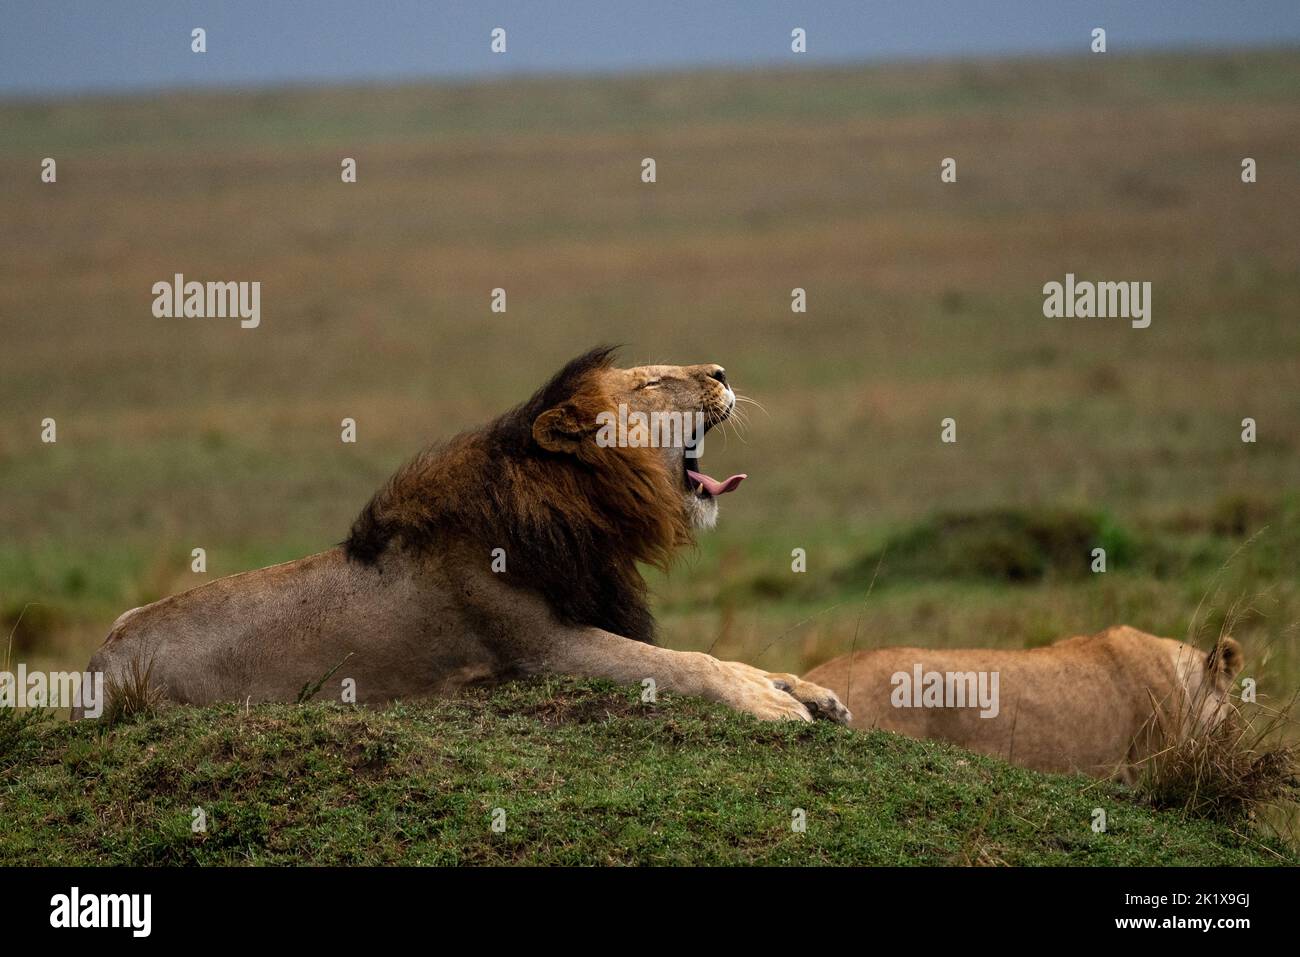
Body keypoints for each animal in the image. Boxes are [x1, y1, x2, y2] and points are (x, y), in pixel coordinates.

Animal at [75, 347, 849, 725]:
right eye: (653, 383)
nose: (722, 372)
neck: (584, 510)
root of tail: (97, 658)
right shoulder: (541, 650)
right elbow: (687, 663)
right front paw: (773, 704)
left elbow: (718, 655)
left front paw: (809, 690)